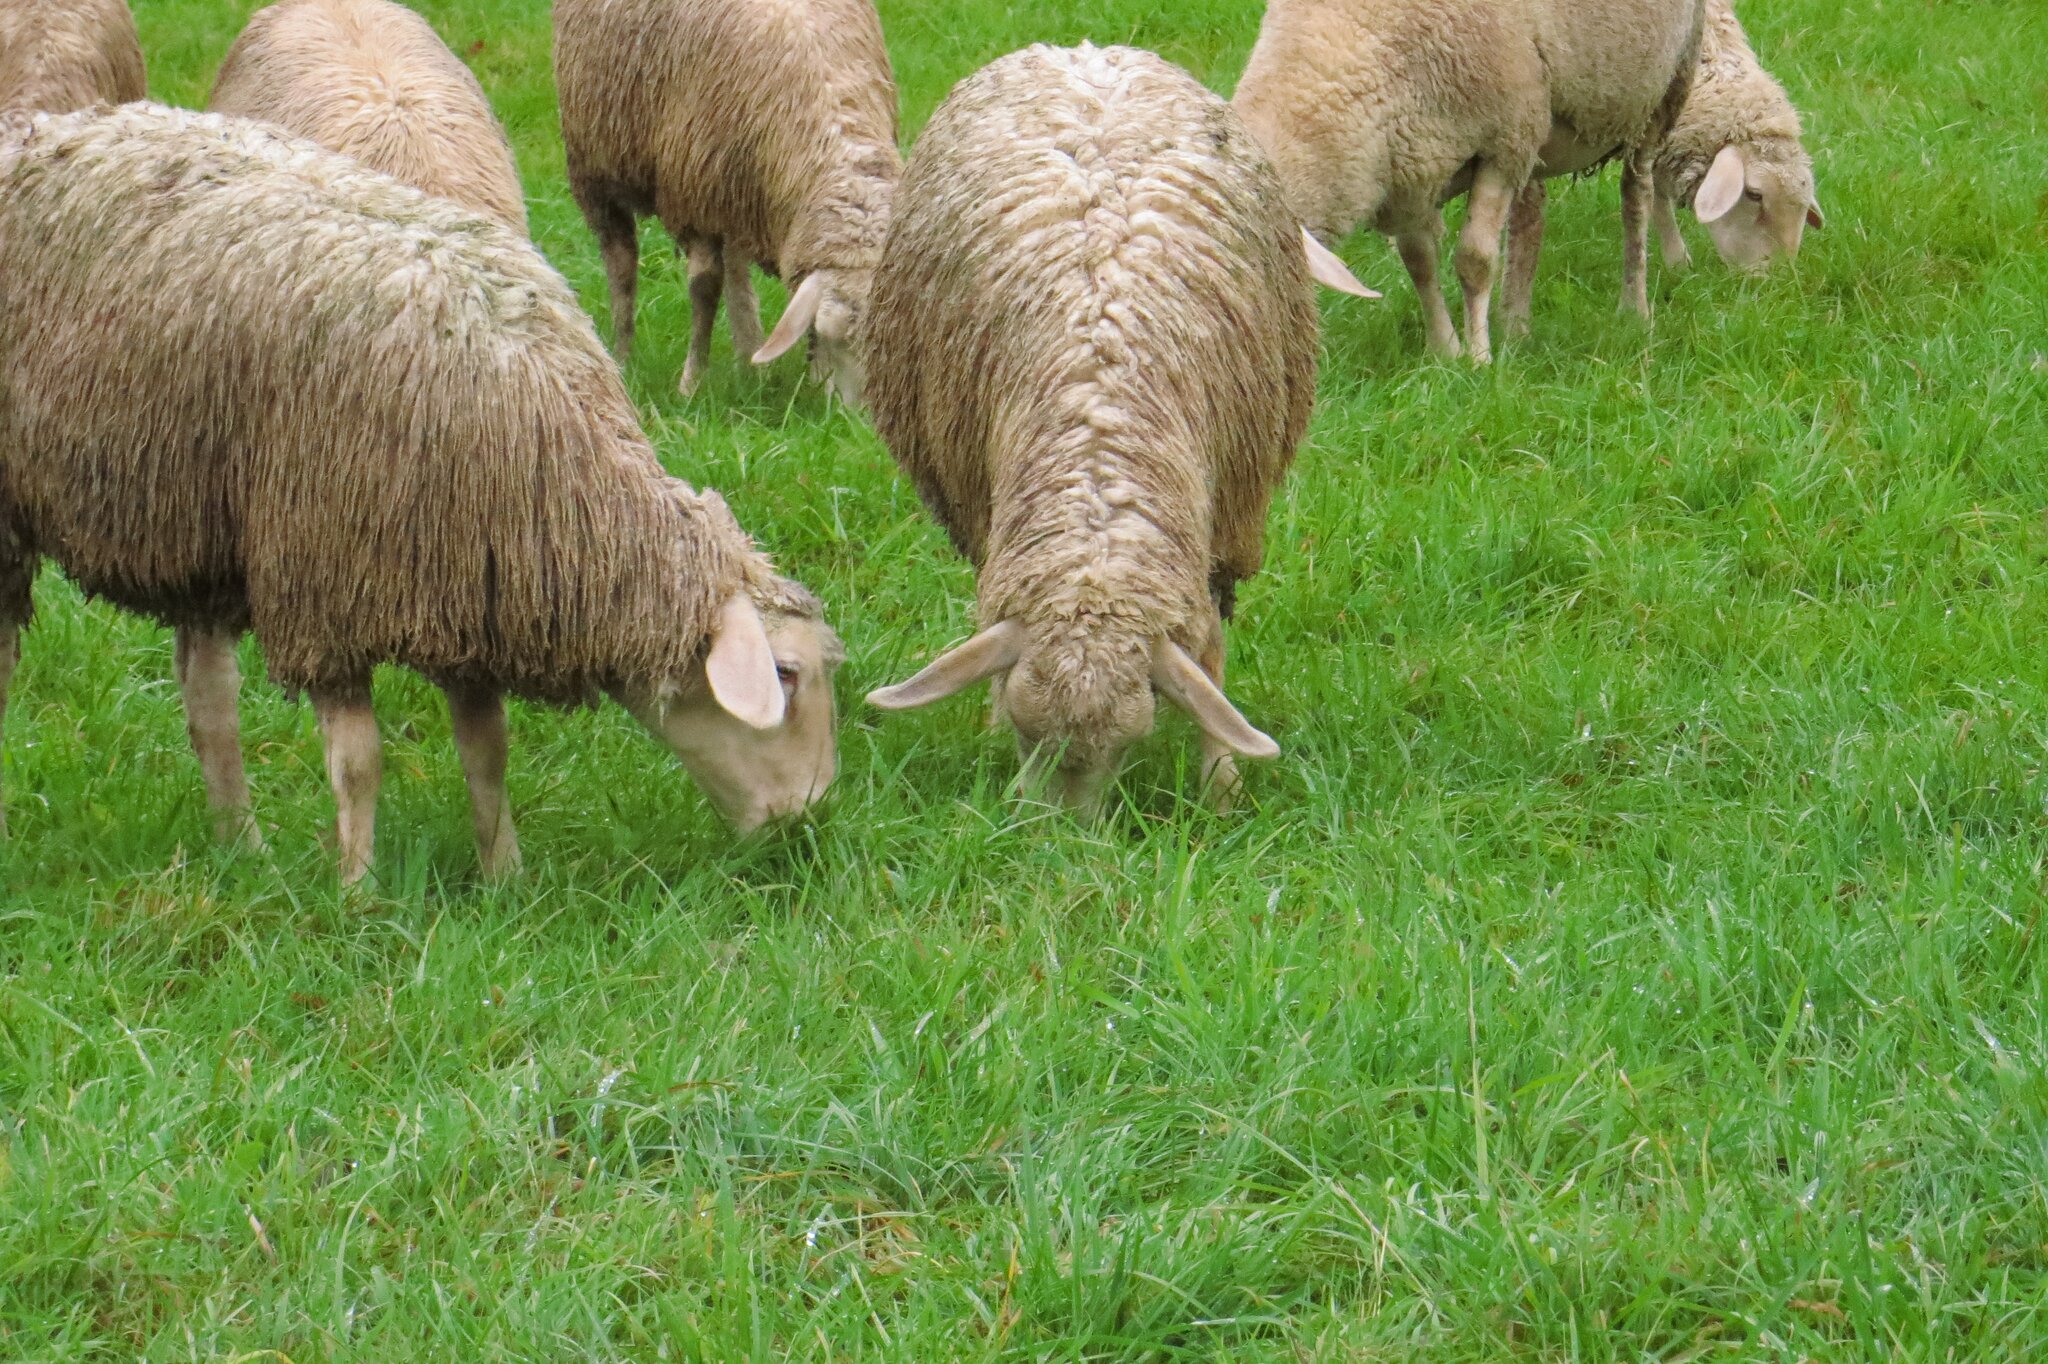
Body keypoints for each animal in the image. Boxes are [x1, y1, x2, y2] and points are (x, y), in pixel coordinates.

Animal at [0, 104, 842, 881]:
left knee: (209, 698)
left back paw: (242, 847)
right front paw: (358, 893)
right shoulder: (325, 589)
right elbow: (359, 762)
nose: (807, 824)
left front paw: (506, 877)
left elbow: (487, 751)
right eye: (786, 675)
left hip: (196, 528)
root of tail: (42, 123)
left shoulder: (467, 596)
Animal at [553, 0, 901, 402]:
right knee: (621, 261)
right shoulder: (694, 195)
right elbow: (704, 289)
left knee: (735, 261)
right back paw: (622, 357)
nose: (856, 416)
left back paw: (748, 357)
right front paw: (691, 384)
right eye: (826, 333)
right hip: (598, 150)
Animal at [862, 43, 1372, 811]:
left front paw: (1220, 784)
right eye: (1026, 734)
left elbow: (1209, 658)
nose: (1056, 833)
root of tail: (1082, 49)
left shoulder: (1219, 530)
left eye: (1128, 742)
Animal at [1233, 0, 1706, 362]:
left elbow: (1474, 259)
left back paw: (1636, 306)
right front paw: (1444, 350)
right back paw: (1515, 323)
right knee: (1530, 214)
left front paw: (1478, 359)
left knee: (1636, 194)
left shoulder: (1502, 144)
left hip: (1666, 86)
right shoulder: (1408, 172)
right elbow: (1419, 263)